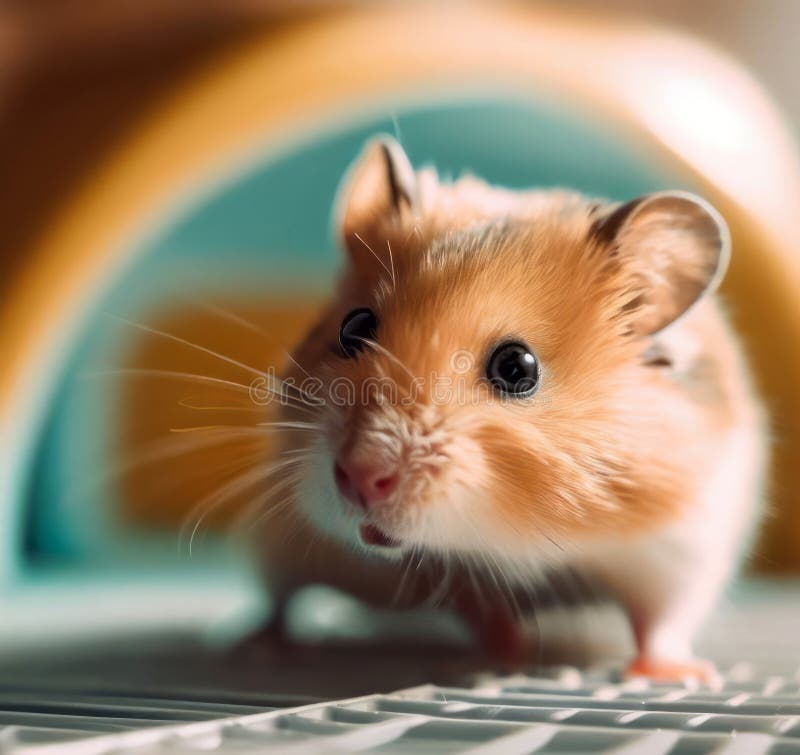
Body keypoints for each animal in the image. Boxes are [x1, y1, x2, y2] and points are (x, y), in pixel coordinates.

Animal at [254, 137, 767, 684]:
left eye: (517, 367)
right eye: (353, 328)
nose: (360, 477)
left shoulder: (687, 544)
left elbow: (662, 621)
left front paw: (681, 675)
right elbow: (489, 611)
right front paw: (490, 662)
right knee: (280, 600)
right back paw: (267, 650)